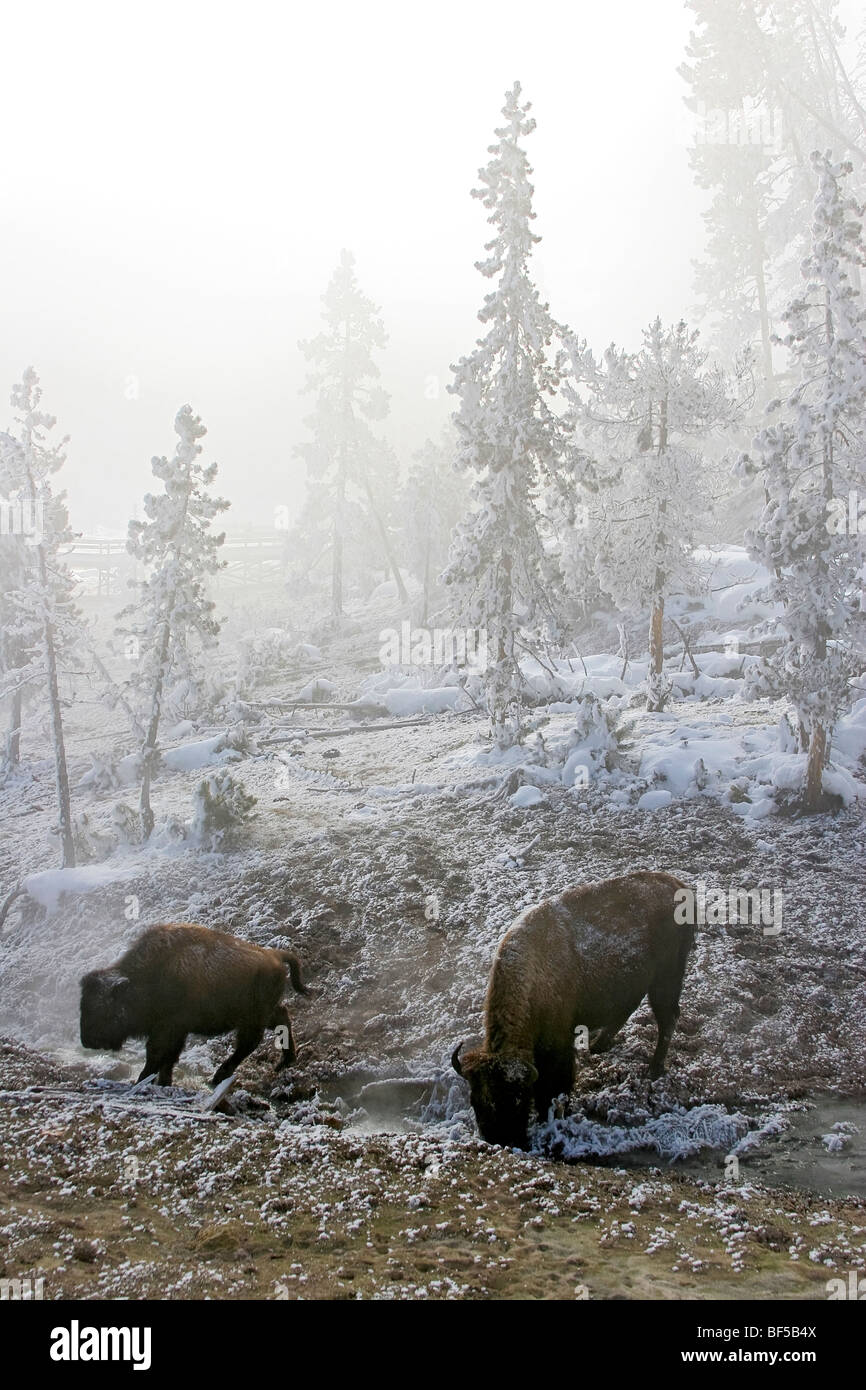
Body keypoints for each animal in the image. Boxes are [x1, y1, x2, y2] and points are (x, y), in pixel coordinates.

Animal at [80, 923, 310, 1087]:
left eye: (104, 1009)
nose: (87, 1040)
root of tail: (274, 955)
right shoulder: (175, 1031)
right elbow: (168, 1058)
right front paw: (164, 1083)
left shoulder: (168, 1028)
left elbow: (157, 1054)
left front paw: (143, 1080)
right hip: (260, 1015)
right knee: (280, 1020)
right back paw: (285, 1061)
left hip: (253, 1018)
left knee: (248, 1043)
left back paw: (219, 1077)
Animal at [452, 871, 694, 1147]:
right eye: (475, 1101)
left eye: (517, 1100)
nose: (502, 1141)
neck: (533, 976)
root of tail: (677, 885)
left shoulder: (559, 1047)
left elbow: (556, 1085)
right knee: (630, 1009)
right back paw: (600, 1044)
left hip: (666, 979)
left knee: (667, 1018)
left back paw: (654, 1069)